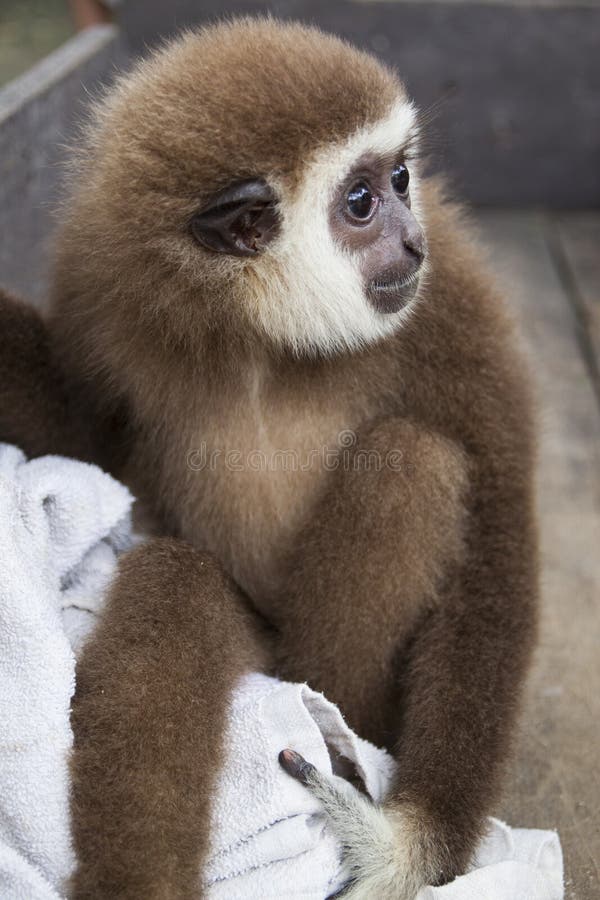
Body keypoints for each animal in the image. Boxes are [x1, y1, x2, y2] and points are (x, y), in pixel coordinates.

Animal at [0, 17, 538, 900]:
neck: (259, 328)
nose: (410, 236)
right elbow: (84, 432)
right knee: (176, 581)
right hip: (258, 650)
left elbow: (498, 533)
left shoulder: (451, 297)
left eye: (401, 178)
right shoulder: (96, 277)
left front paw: (407, 848)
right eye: (361, 201)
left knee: (408, 464)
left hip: (315, 672)